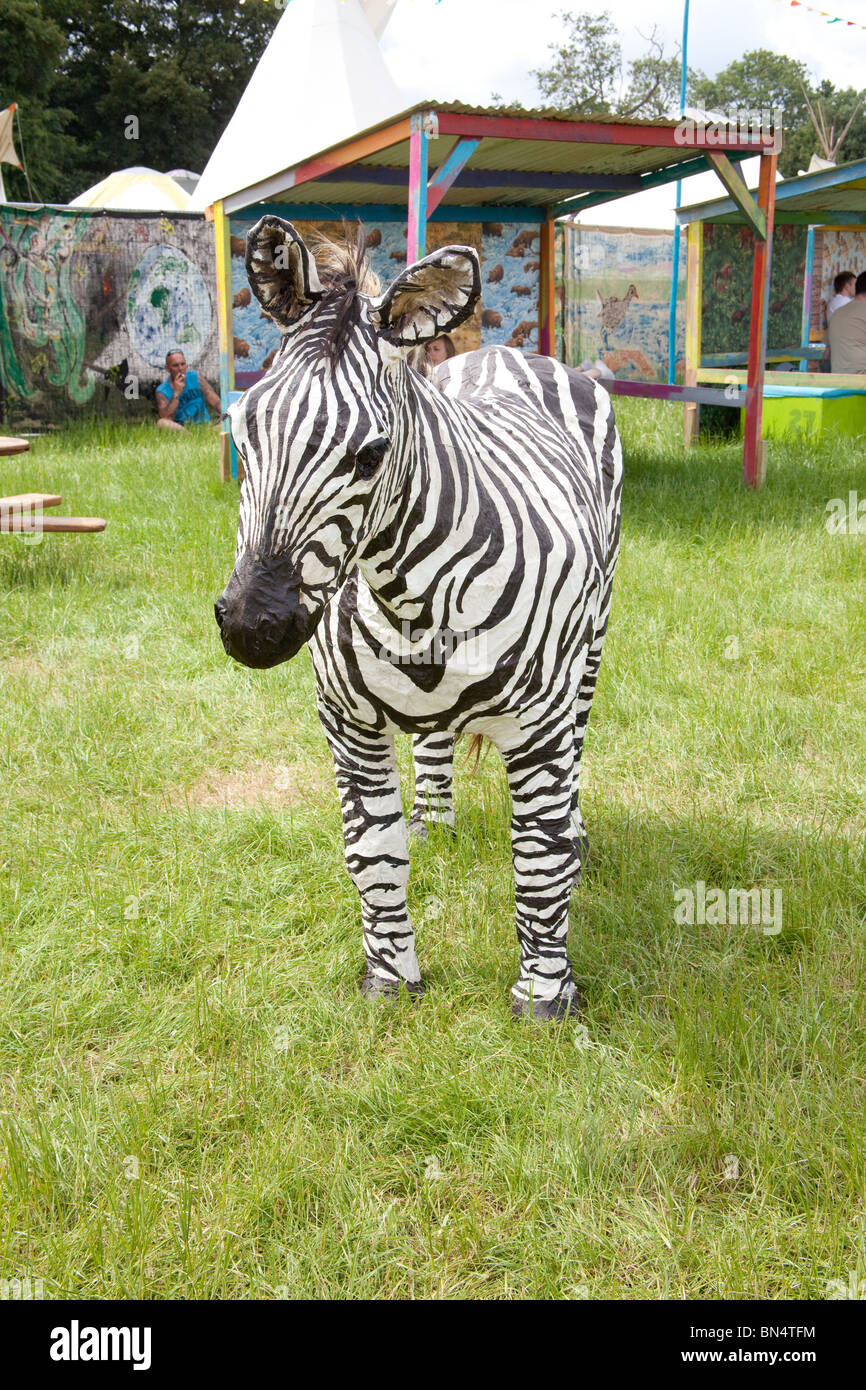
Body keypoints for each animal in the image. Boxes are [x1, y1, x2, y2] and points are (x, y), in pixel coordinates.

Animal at [215, 217, 623, 1020]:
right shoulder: (346, 721)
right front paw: (390, 977)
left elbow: (541, 855)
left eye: (370, 454)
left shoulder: (539, 724)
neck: (410, 604)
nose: (251, 625)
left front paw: (545, 998)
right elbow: (370, 854)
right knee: (435, 744)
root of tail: (503, 351)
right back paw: (433, 821)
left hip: (590, 647)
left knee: (575, 758)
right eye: (241, 435)